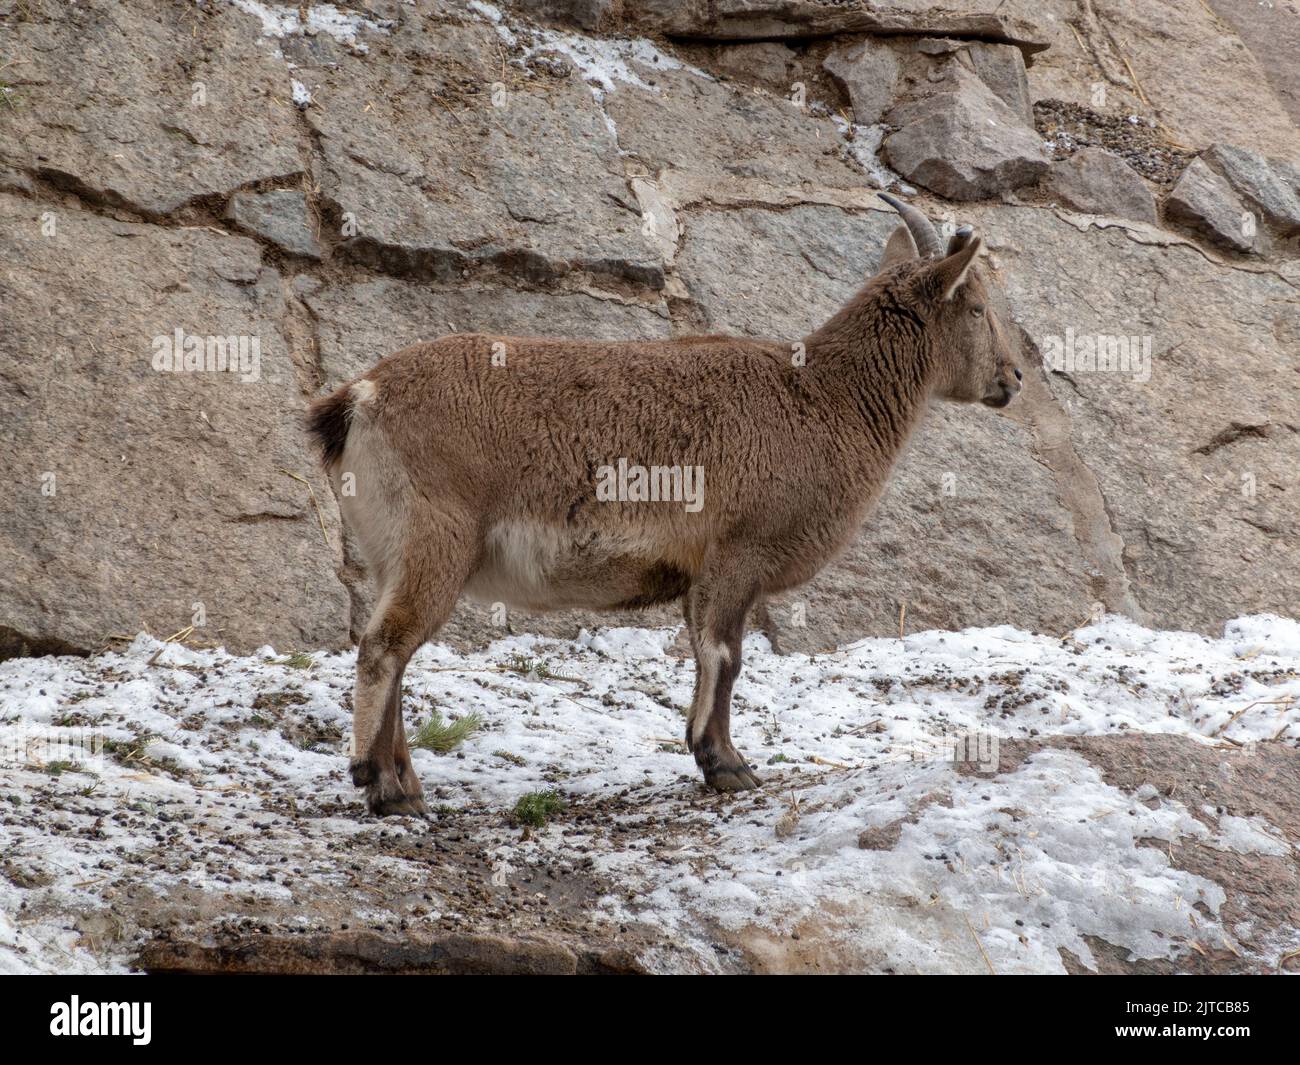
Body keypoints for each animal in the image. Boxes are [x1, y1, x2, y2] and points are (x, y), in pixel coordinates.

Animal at [308, 195, 1023, 816]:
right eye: (976, 307)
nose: (1012, 378)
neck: (824, 400)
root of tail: (359, 399)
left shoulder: (705, 572)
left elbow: (708, 651)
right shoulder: (739, 554)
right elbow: (724, 654)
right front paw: (727, 764)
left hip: (391, 552)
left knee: (393, 649)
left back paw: (404, 783)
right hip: (435, 539)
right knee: (384, 647)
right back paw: (382, 785)